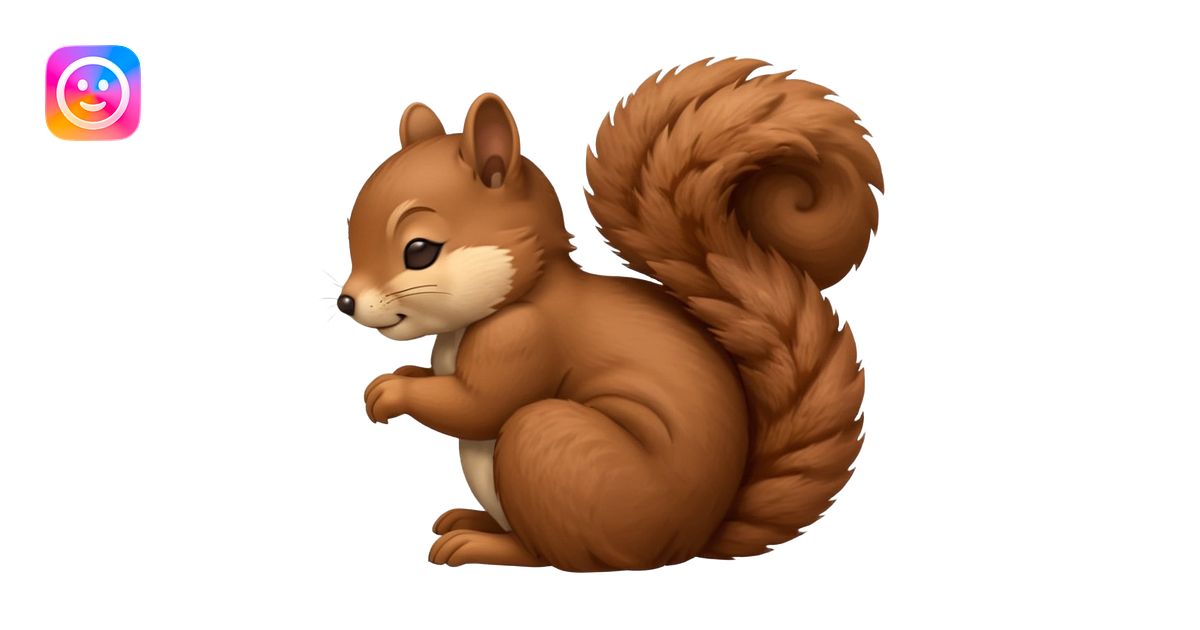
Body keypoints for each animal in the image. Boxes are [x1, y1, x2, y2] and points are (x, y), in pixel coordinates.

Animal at [337, 58, 883, 571]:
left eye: (420, 251)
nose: (346, 302)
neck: (524, 291)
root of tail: (689, 542)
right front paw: (403, 375)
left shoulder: (524, 336)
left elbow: (476, 405)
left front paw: (392, 392)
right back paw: (470, 520)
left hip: (554, 449)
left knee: (553, 556)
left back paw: (482, 544)